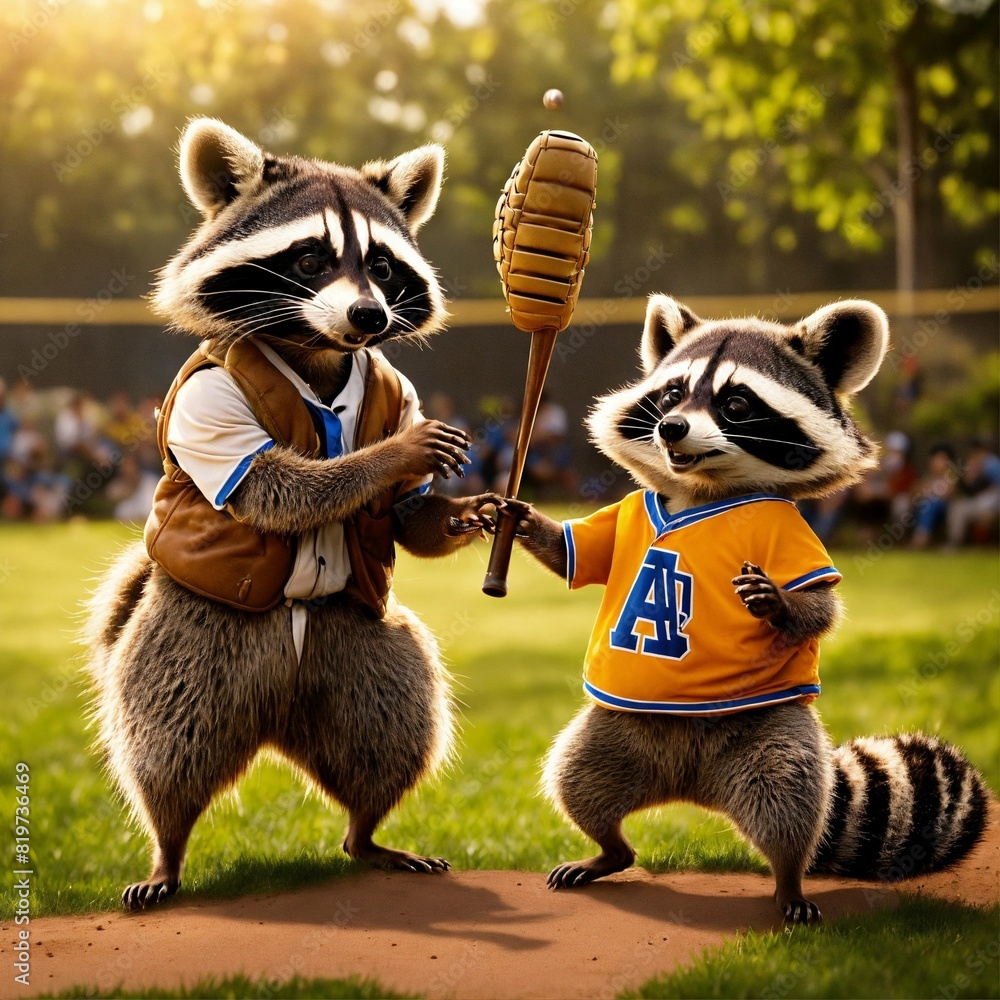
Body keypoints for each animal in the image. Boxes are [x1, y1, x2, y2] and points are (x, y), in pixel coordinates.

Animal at [86, 118, 497, 909]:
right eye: (309, 258)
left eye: (381, 266)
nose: (369, 316)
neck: (316, 350)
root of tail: (281, 706)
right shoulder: (208, 400)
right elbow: (278, 490)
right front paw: (389, 454)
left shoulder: (400, 386)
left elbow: (404, 520)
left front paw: (462, 512)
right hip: (194, 640)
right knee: (169, 741)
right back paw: (167, 847)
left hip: (358, 651)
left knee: (392, 732)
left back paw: (367, 832)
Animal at [509, 294, 989, 923]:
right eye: (671, 395)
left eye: (735, 403)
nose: (671, 427)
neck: (705, 489)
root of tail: (693, 787)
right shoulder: (630, 508)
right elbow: (575, 553)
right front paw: (523, 521)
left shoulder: (790, 533)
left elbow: (819, 607)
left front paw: (781, 605)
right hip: (619, 735)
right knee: (579, 779)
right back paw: (610, 849)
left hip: (767, 732)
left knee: (787, 799)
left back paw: (788, 880)